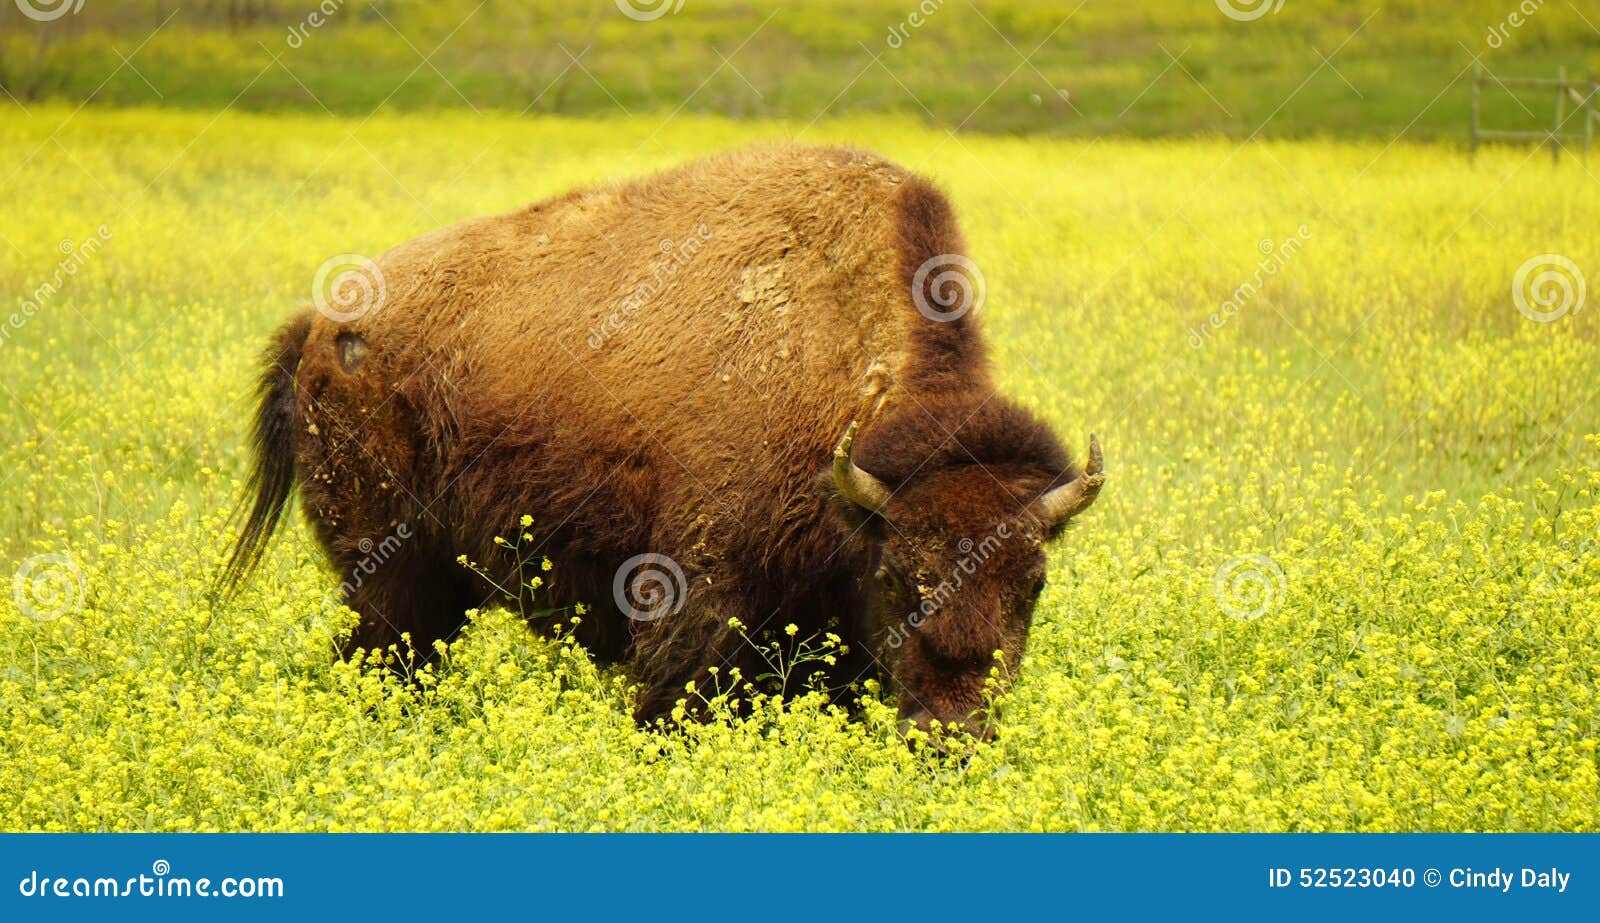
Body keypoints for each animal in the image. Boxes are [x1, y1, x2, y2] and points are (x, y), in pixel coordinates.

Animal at [220, 143, 1104, 741]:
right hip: (392, 578)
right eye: (897, 577)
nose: (948, 737)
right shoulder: (695, 600)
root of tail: (321, 324)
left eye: (1034, 585)